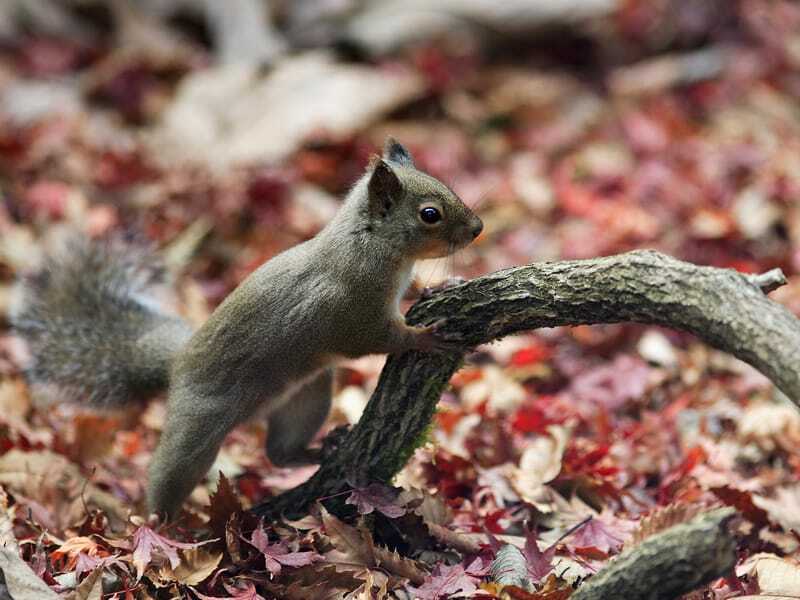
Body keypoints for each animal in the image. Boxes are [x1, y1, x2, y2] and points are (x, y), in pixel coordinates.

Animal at [10, 138, 482, 516]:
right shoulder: (351, 311)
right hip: (197, 425)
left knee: (279, 453)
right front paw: (425, 338)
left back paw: (320, 448)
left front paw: (444, 285)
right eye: (429, 214)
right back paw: (160, 527)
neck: (369, 244)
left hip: (306, 397)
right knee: (170, 472)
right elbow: (375, 338)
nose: (478, 229)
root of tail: (176, 365)